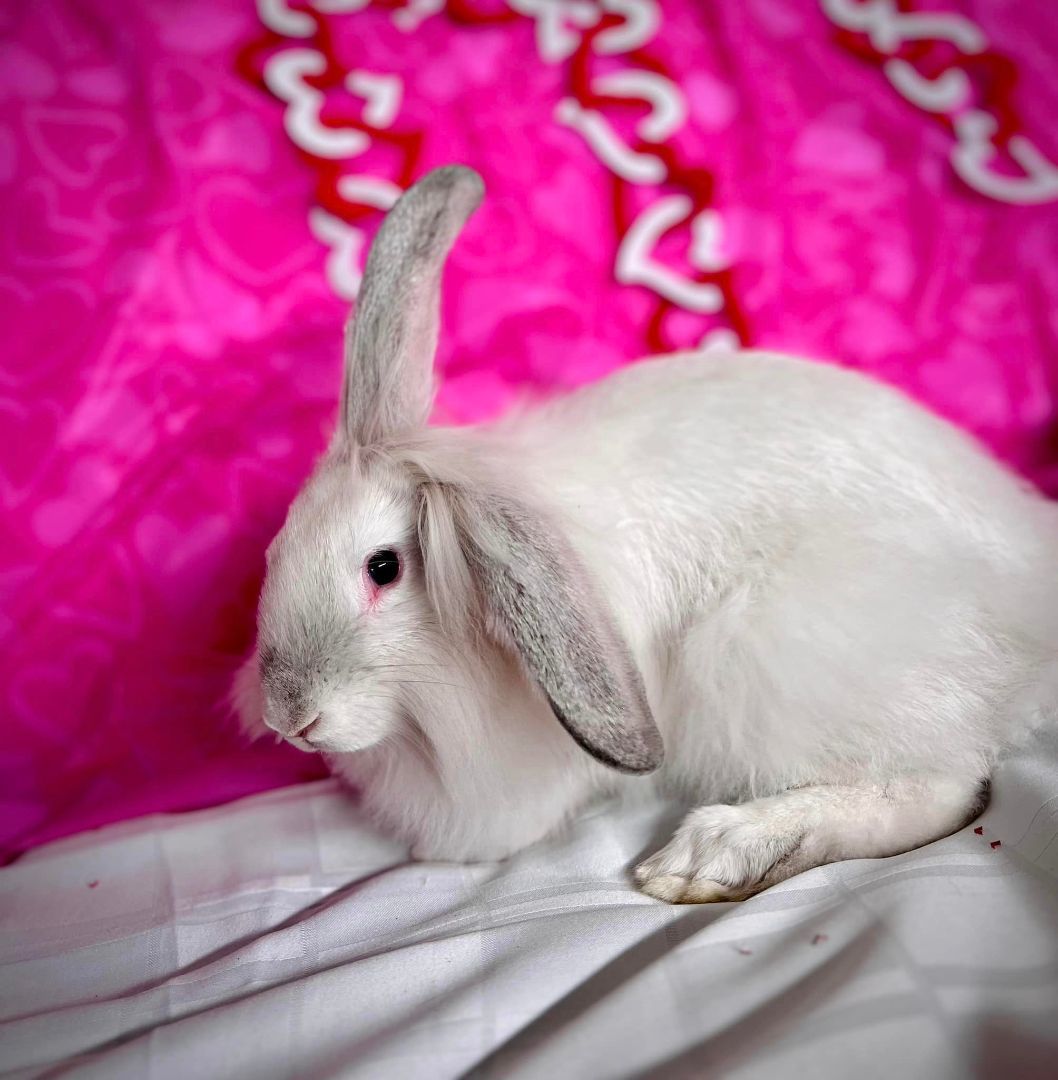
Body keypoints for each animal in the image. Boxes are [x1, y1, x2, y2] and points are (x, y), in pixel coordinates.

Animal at [233, 165, 1058, 903]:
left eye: (383, 568)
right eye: (276, 550)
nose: (291, 718)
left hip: (767, 646)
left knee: (949, 788)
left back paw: (716, 855)